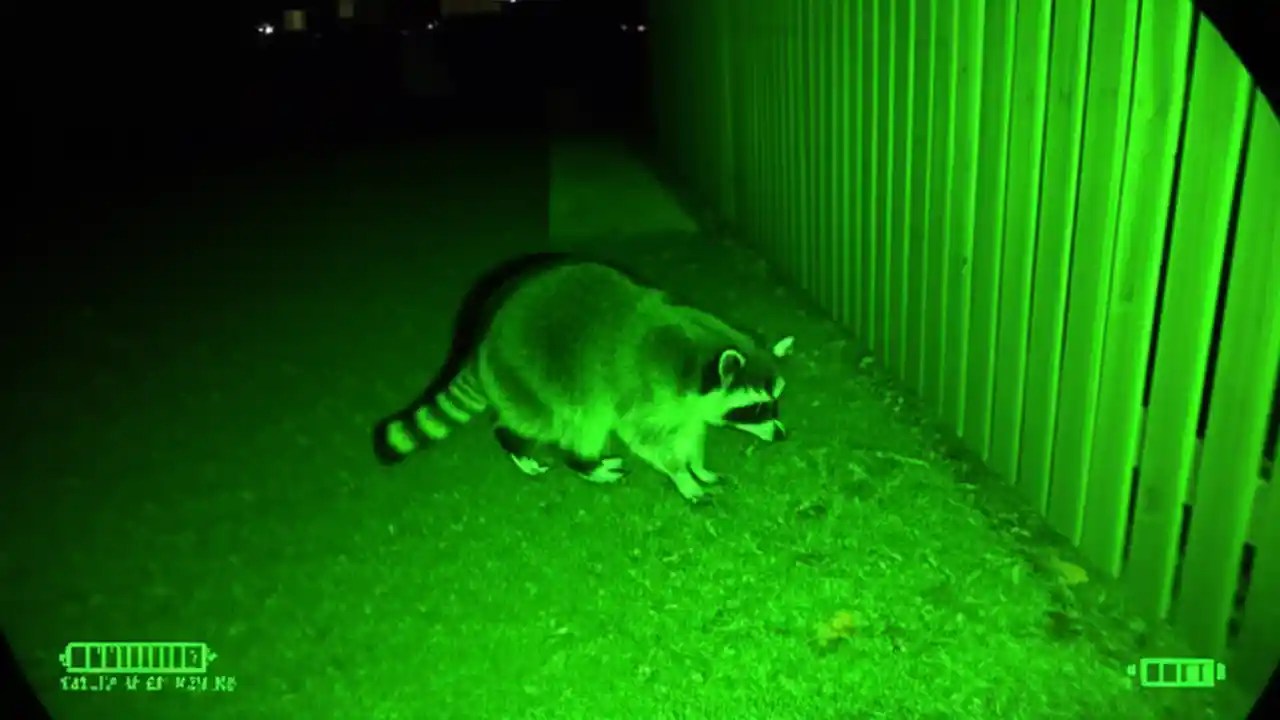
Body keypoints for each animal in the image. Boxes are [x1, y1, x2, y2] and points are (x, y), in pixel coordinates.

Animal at [373, 259, 793, 502]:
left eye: (775, 401)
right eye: (756, 408)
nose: (782, 435)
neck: (695, 358)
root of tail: (482, 343)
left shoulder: (684, 405)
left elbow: (692, 432)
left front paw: (698, 466)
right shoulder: (644, 392)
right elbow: (649, 440)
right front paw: (682, 477)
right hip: (540, 380)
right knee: (578, 420)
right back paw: (573, 460)